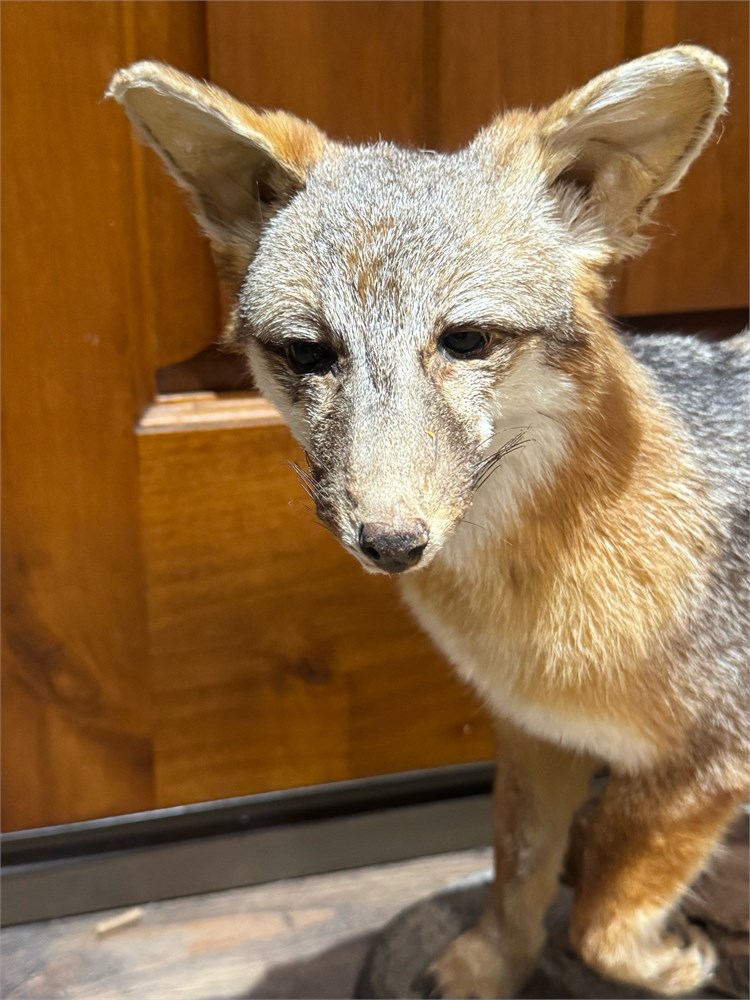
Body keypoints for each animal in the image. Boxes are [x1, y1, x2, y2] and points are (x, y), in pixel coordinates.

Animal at [109, 45, 748, 998]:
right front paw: (490, 966)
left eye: (468, 341)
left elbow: (601, 918)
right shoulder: (535, 733)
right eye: (308, 354)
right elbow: (517, 872)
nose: (390, 541)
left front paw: (663, 962)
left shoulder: (707, 762)